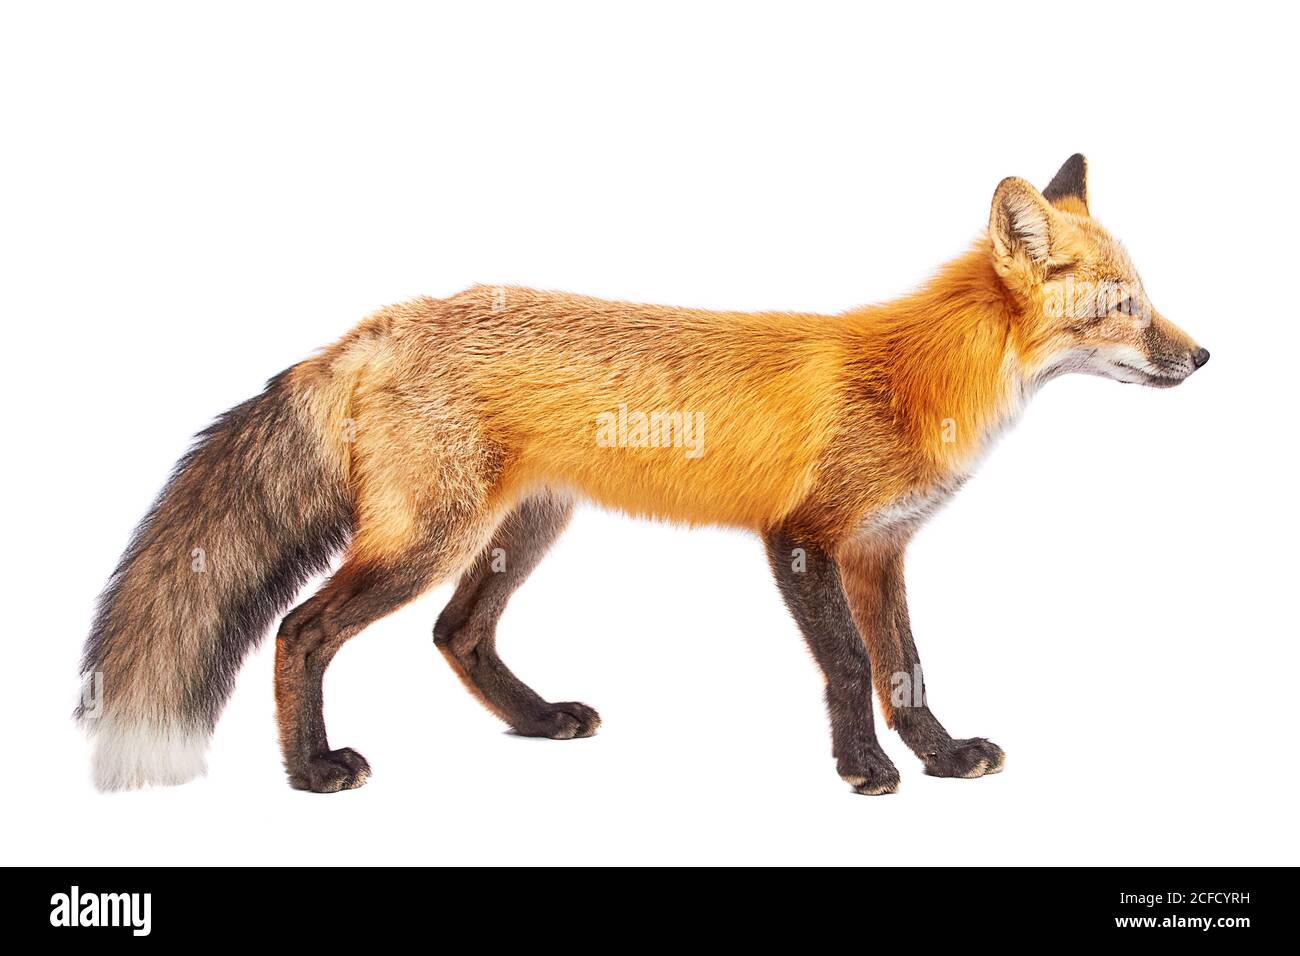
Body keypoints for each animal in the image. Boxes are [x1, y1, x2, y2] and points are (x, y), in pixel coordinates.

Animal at [79, 155, 1208, 794]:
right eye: (1123, 307)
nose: (1201, 357)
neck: (922, 375)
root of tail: (372, 327)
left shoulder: (881, 550)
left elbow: (906, 671)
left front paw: (941, 757)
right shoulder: (804, 541)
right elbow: (851, 670)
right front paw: (867, 771)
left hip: (524, 529)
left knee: (457, 633)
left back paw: (536, 722)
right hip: (425, 539)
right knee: (299, 630)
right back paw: (312, 770)